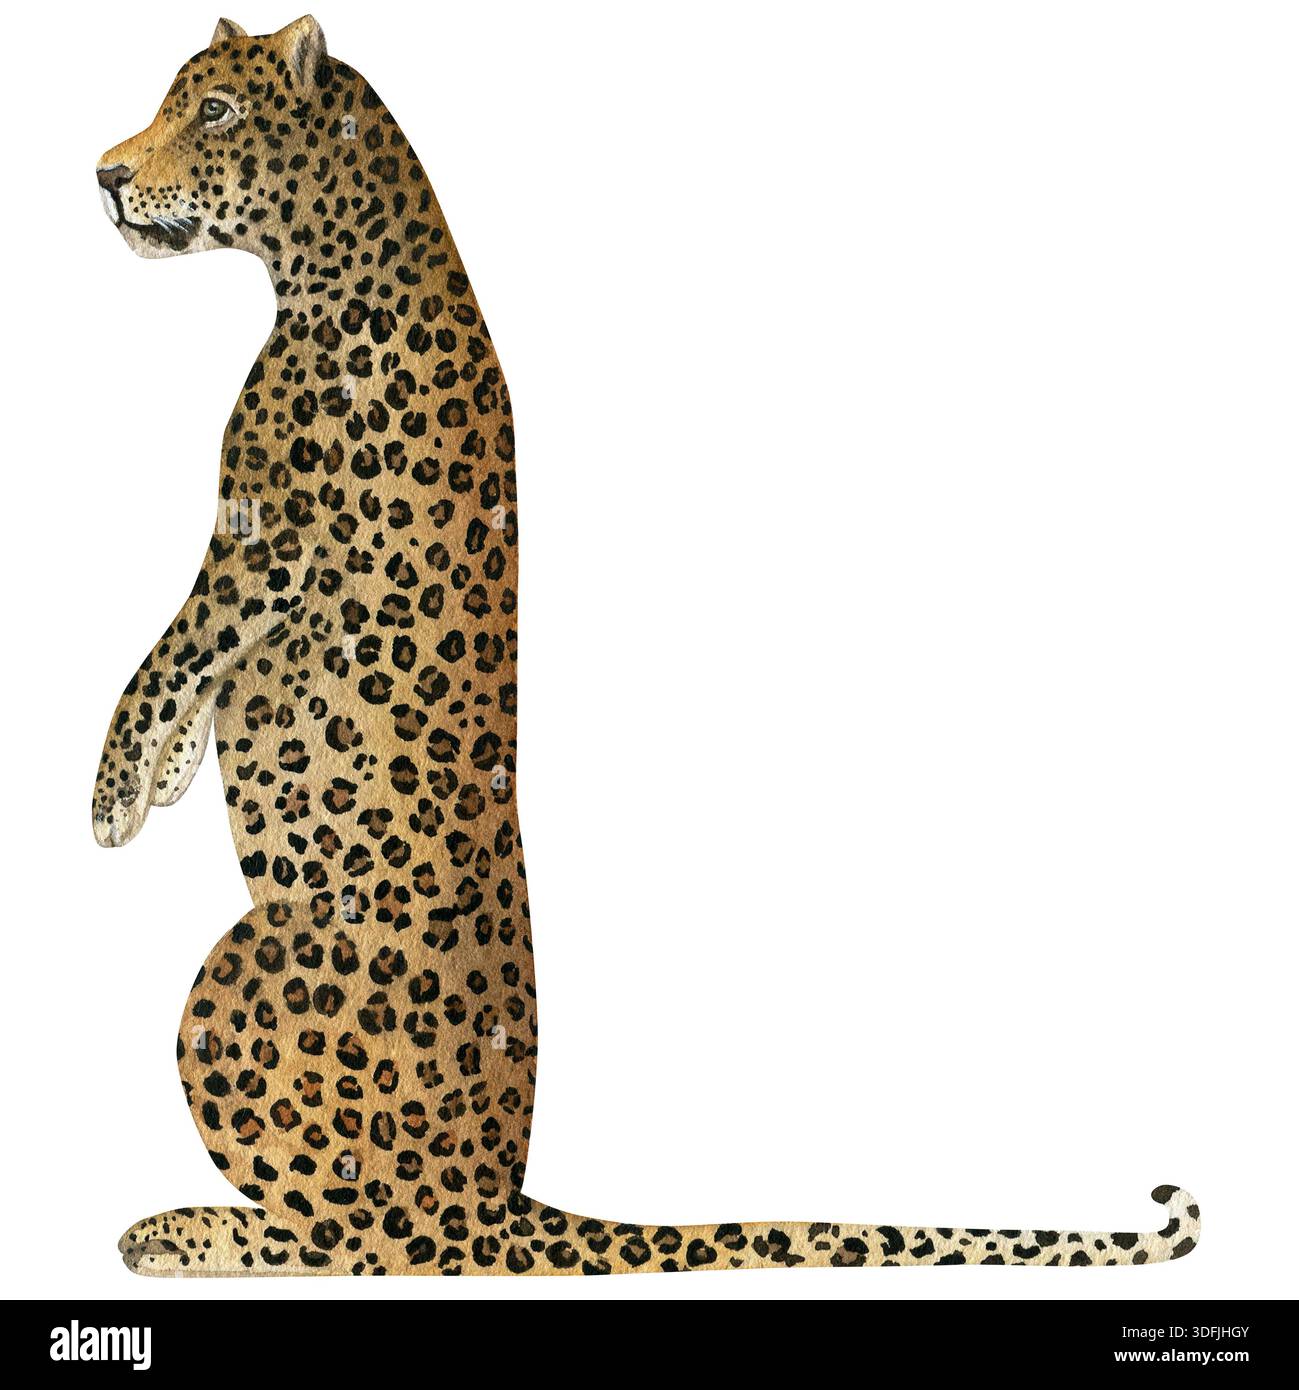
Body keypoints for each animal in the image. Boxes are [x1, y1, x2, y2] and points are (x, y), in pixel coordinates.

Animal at [92, 15, 1199, 1275]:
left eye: (215, 112)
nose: (107, 176)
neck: (343, 255)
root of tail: (497, 1200)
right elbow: (193, 668)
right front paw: (165, 776)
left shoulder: (259, 543)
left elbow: (174, 650)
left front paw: (113, 795)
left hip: (236, 973)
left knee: (350, 1238)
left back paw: (181, 1231)